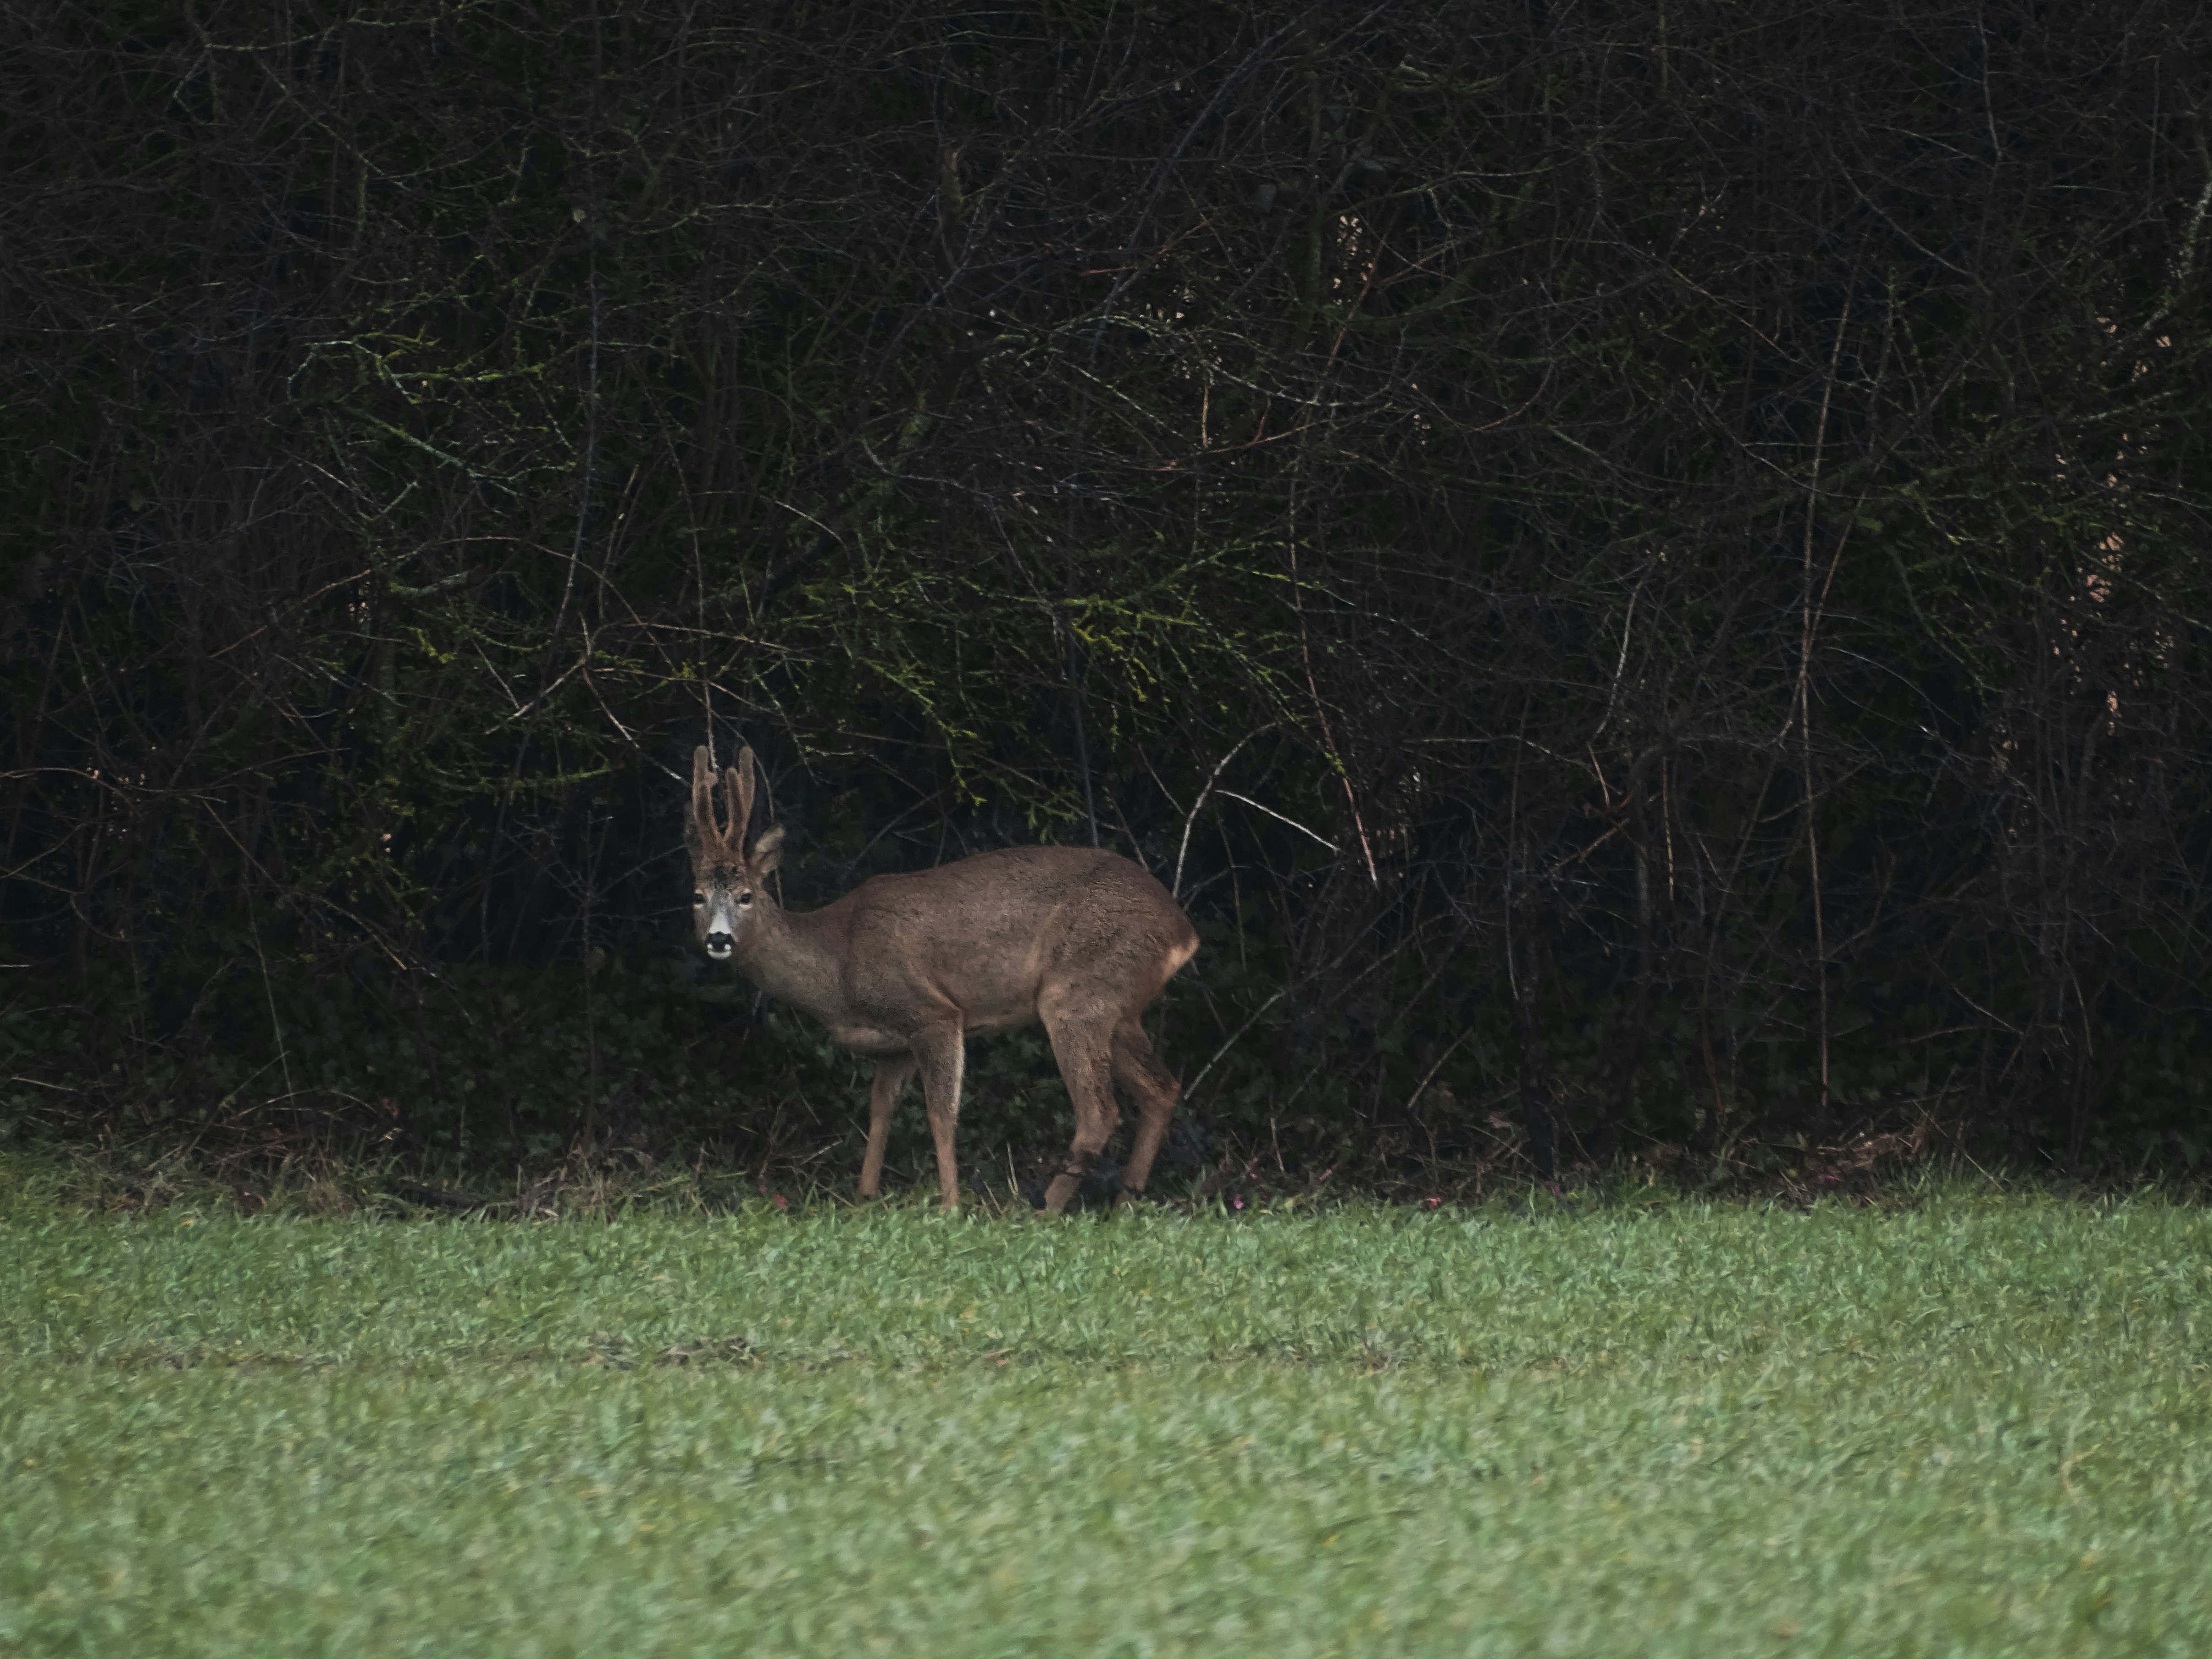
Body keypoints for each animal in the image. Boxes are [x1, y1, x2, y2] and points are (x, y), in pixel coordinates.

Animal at [684, 746, 1199, 1214]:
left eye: (746, 895)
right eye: (697, 895)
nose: (718, 939)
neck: (838, 967)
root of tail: (1183, 932)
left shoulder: (931, 1012)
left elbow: (942, 1112)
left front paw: (951, 1205)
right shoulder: (893, 1046)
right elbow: (880, 1111)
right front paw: (865, 1198)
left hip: (1076, 995)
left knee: (1099, 1112)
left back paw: (1043, 1211)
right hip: (1119, 1008)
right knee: (1161, 1090)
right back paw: (1125, 1205)